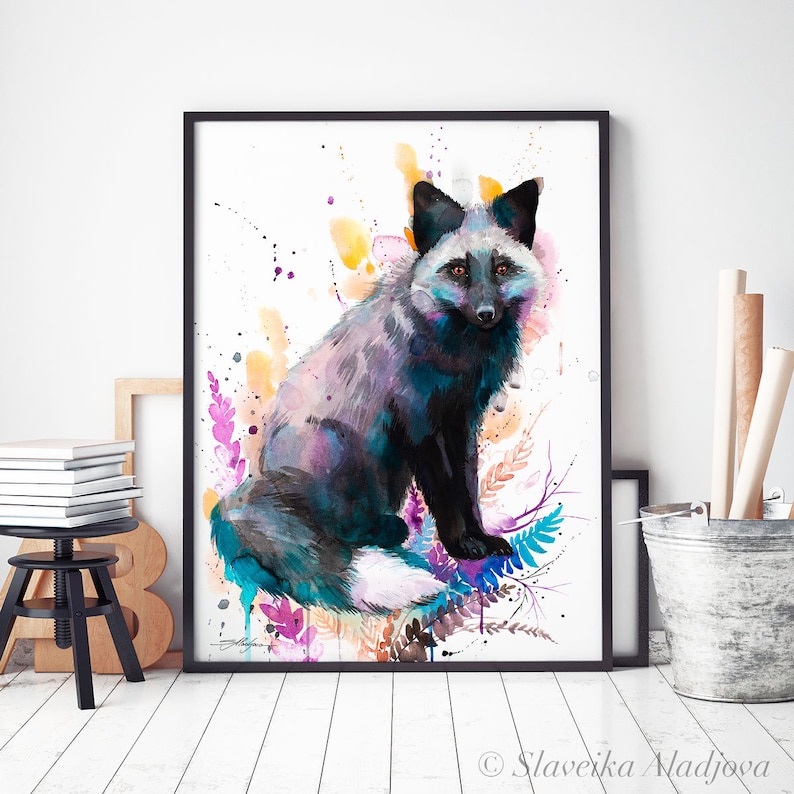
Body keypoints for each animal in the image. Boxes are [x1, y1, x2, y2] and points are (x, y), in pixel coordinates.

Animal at [212, 177, 546, 613]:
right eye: (458, 271)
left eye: (502, 268)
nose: (486, 313)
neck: (458, 358)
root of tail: (253, 490)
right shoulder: (420, 428)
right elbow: (446, 496)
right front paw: (462, 547)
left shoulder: (461, 424)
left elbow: (467, 490)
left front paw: (481, 540)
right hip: (342, 445)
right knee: (338, 530)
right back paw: (384, 532)